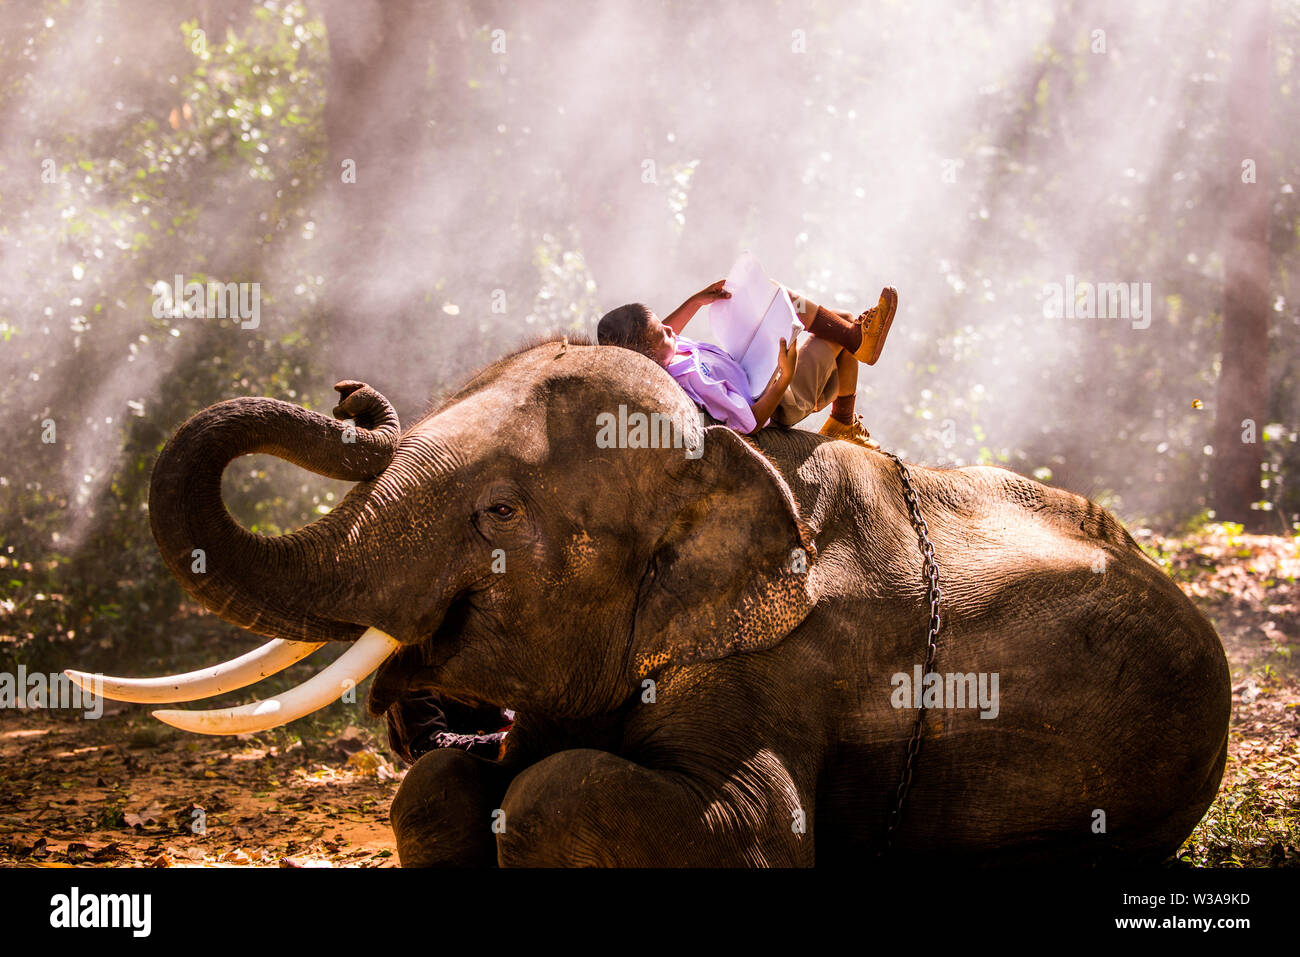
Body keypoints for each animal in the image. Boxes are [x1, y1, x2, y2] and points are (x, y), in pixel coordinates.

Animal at [76, 337, 1231, 866]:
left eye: (499, 511)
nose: (354, 396)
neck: (722, 454)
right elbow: (444, 790)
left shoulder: (788, 659)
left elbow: (714, 822)